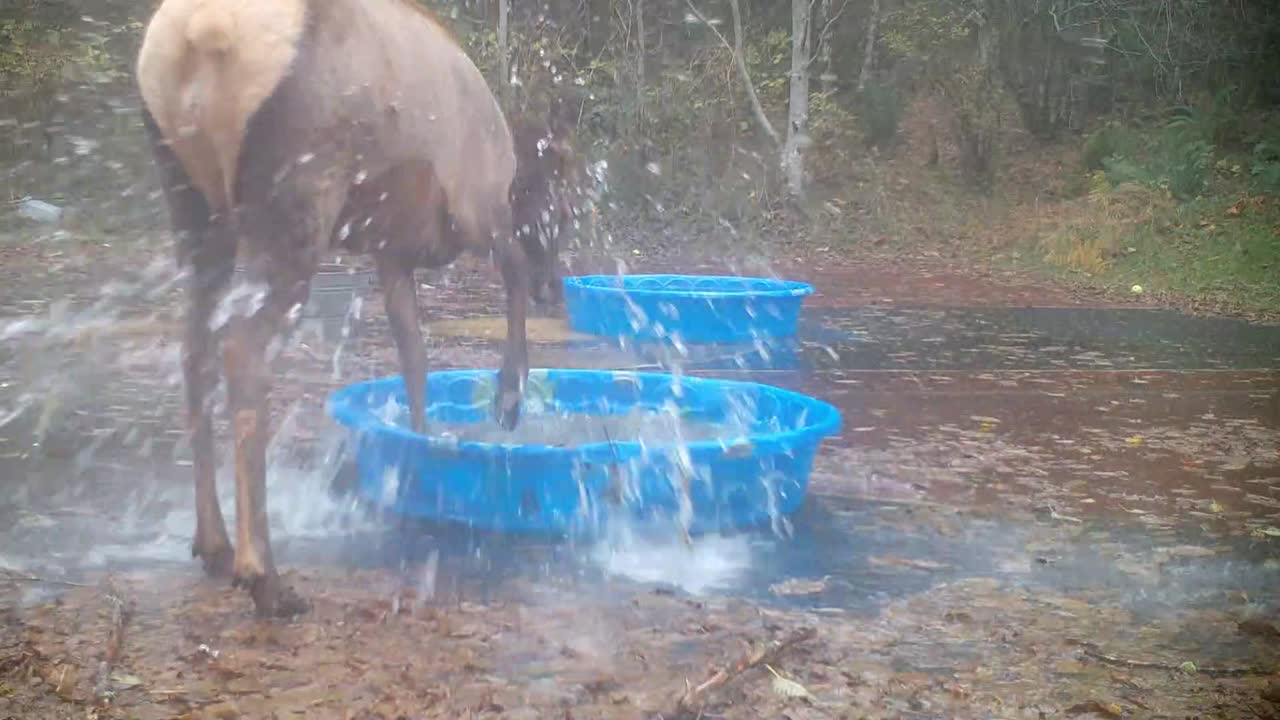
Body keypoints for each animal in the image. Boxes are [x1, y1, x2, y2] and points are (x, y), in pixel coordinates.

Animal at [136, 0, 529, 616]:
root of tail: (199, 34)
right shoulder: (479, 204)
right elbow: (519, 277)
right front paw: (508, 397)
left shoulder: (393, 253)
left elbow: (414, 356)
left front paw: (420, 446)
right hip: (298, 198)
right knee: (242, 347)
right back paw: (264, 574)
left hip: (194, 206)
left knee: (194, 348)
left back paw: (214, 543)